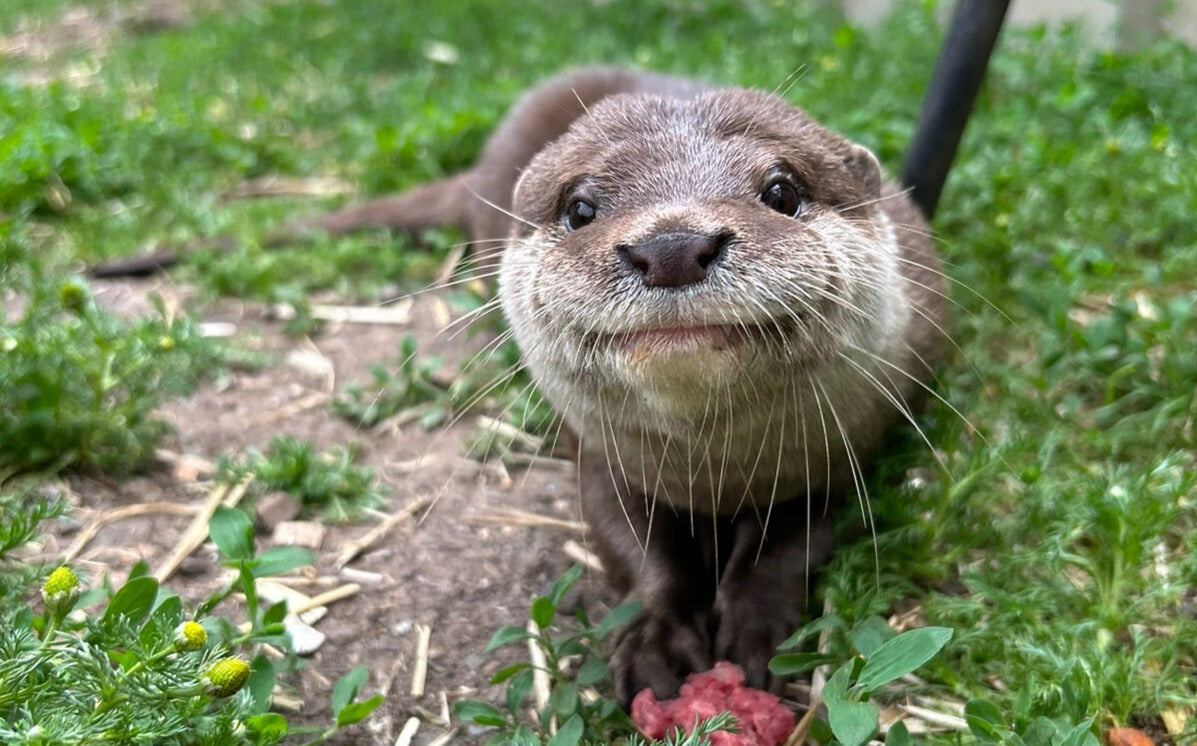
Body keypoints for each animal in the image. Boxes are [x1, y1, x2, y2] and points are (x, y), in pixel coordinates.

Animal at [295, 68, 948, 704]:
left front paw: (757, 634)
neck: (715, 474)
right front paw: (657, 640)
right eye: (581, 208)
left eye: (782, 192)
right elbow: (635, 549)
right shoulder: (598, 454)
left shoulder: (836, 454)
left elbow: (787, 547)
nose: (673, 245)